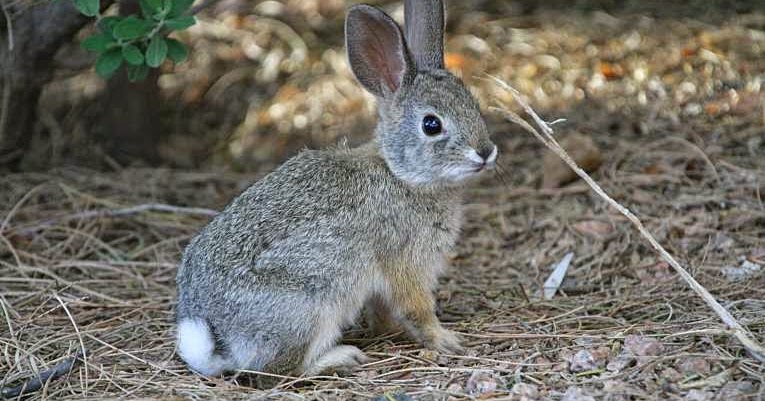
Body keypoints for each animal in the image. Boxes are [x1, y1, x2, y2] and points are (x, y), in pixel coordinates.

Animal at [175, 0, 498, 378]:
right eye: (431, 125)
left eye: (474, 106)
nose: (486, 152)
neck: (400, 174)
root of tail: (220, 340)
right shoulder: (406, 261)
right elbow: (416, 307)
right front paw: (446, 340)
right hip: (314, 303)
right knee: (280, 369)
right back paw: (341, 357)